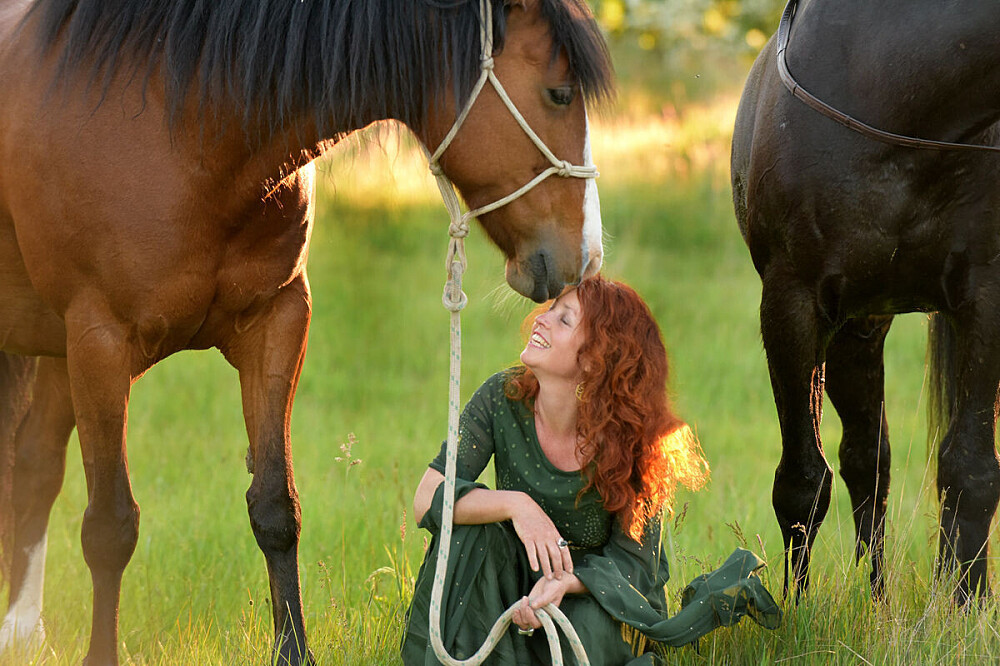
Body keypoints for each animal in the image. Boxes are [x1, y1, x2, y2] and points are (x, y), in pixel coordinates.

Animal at [0, 0, 613, 663]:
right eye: (559, 93)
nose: (586, 257)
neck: (183, 124)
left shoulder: (278, 320)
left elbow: (275, 507)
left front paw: (294, 651)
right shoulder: (100, 341)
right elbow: (110, 526)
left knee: (34, 464)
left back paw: (23, 630)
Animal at [732, 0, 1000, 605]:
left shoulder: (986, 299)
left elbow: (969, 470)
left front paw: (961, 611)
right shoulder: (793, 305)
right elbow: (802, 480)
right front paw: (796, 612)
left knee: (871, 461)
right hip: (854, 329)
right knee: (865, 462)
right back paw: (873, 599)